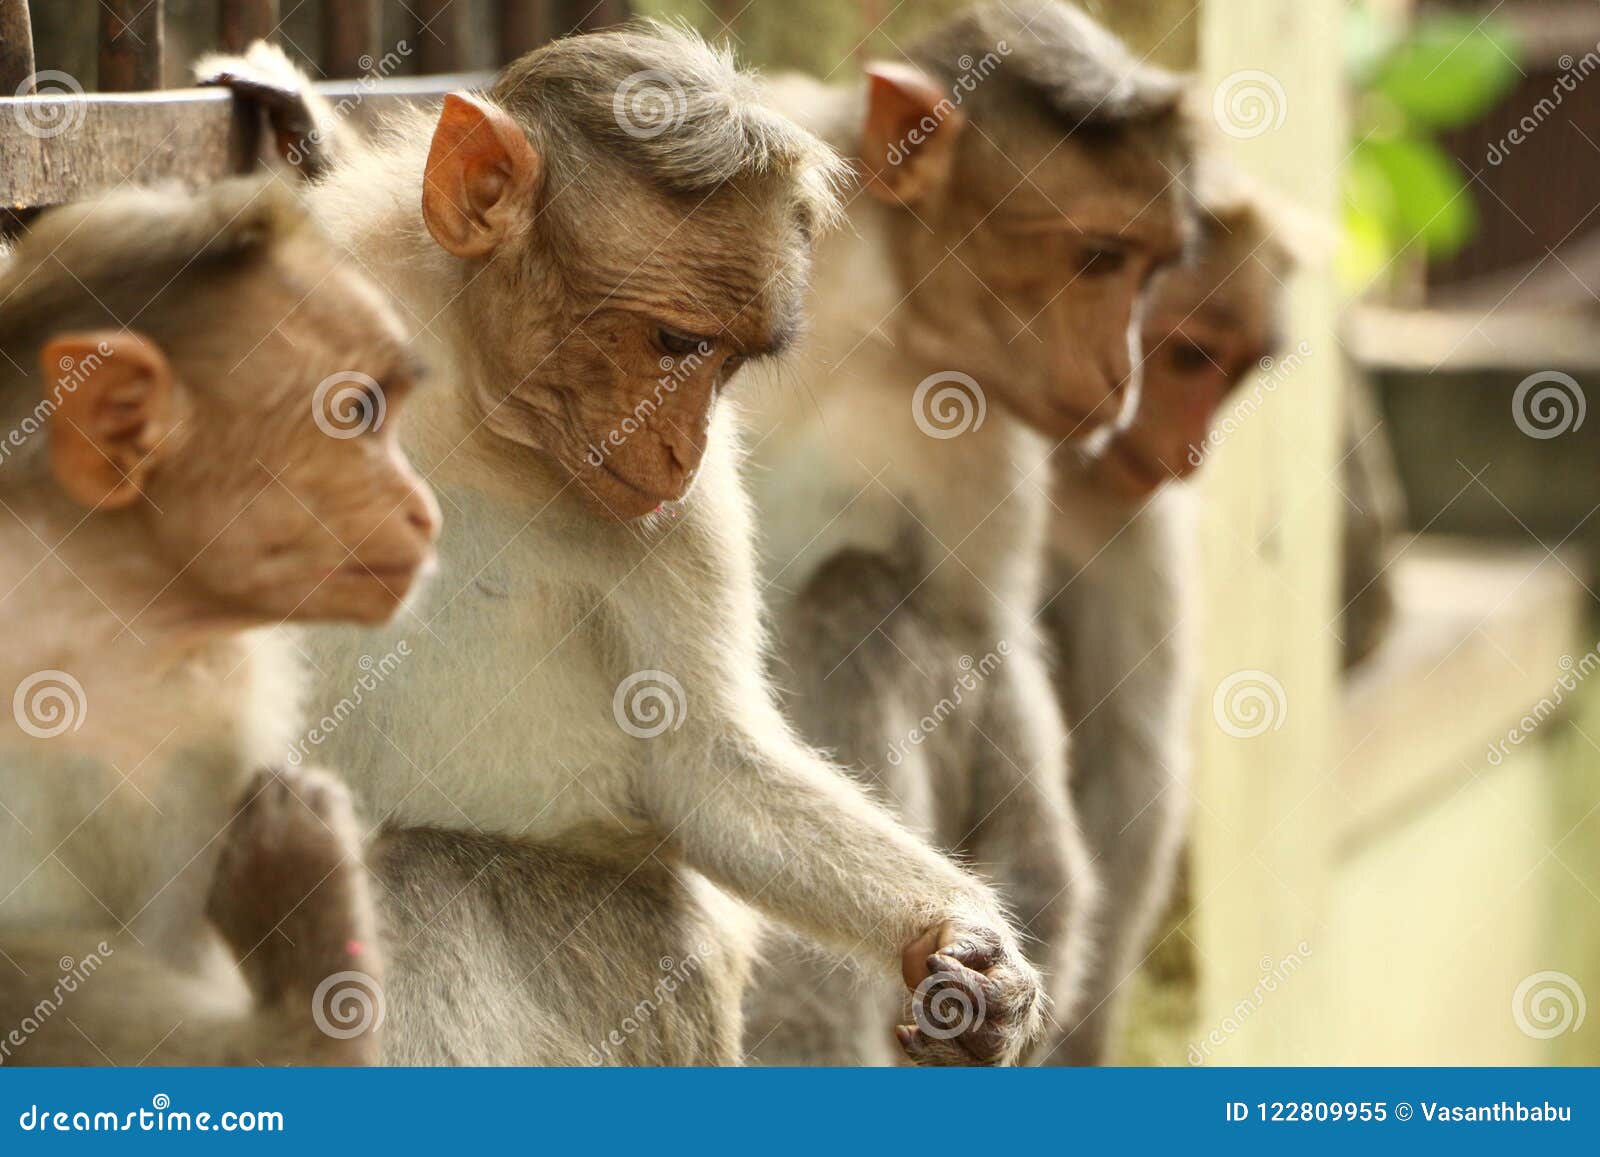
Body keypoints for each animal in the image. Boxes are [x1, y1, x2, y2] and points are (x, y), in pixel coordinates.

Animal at [203, 24, 1047, 1066]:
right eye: (675, 342)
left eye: (730, 361)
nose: (683, 445)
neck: (461, 392)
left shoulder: (691, 516)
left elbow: (708, 768)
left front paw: (972, 952)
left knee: (421, 878)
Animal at [735, 1, 1196, 1064]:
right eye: (1097, 257)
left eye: (1153, 266)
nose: (1123, 370)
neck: (867, 307)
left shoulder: (984, 426)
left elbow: (984, 635)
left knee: (859, 601)